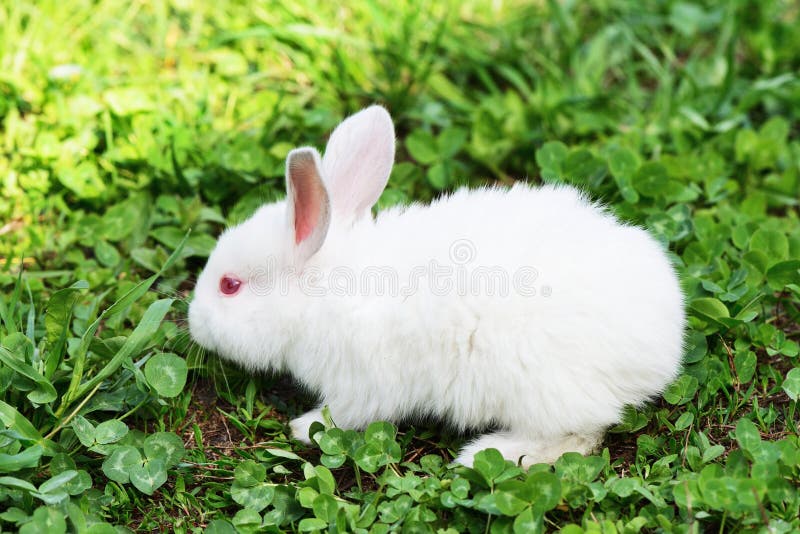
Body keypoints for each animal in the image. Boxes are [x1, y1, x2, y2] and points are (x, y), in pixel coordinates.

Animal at [188, 105, 685, 468]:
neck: (323, 291)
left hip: (542, 390)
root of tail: (663, 348)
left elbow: (342, 415)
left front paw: (300, 426)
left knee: (580, 436)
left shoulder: (363, 384)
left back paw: (485, 455)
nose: (193, 323)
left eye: (230, 285)